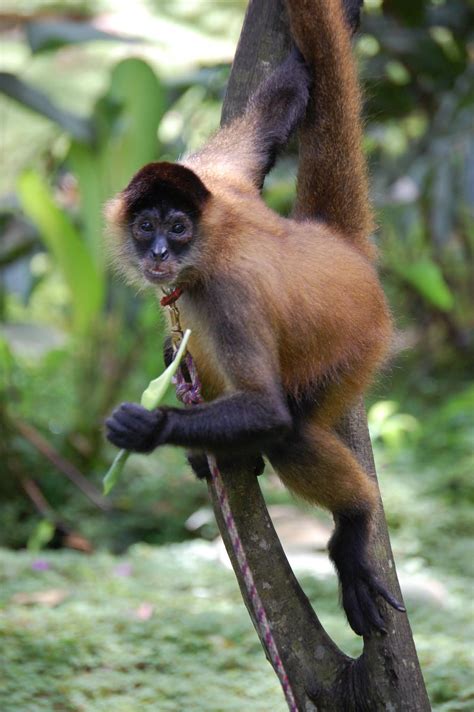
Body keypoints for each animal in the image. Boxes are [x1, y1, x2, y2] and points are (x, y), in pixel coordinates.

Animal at [104, 0, 405, 637]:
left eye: (178, 228)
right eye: (145, 225)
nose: (159, 253)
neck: (211, 237)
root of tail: (338, 250)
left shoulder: (227, 292)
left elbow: (269, 411)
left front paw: (150, 427)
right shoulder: (213, 176)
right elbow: (280, 103)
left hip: (355, 349)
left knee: (291, 432)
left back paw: (353, 521)